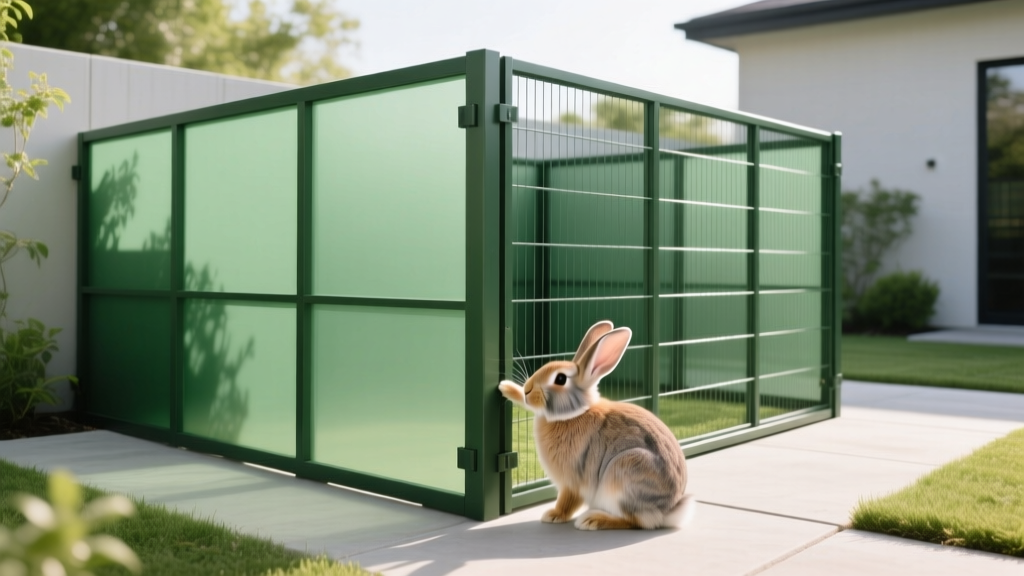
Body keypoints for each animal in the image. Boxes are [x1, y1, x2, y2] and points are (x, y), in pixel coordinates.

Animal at [498, 320, 696, 530]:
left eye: (560, 379)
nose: (528, 389)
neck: (574, 413)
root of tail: (669, 511)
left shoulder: (573, 479)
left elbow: (568, 500)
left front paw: (553, 515)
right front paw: (505, 387)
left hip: (624, 475)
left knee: (636, 520)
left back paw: (593, 520)